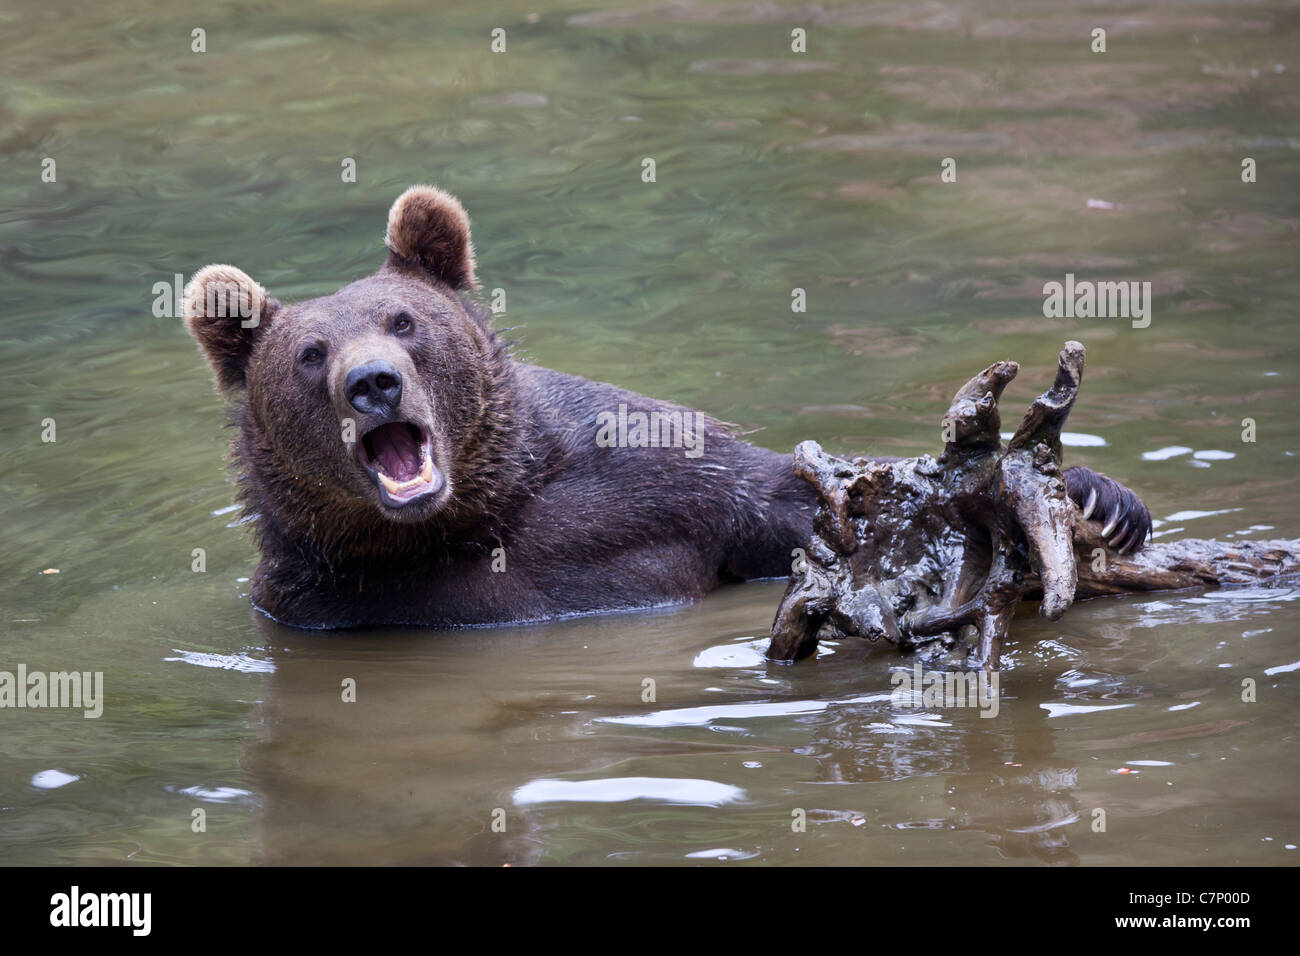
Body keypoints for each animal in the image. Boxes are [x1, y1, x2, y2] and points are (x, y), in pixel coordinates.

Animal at [184, 185, 1152, 629]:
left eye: (403, 320)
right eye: (310, 353)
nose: (373, 381)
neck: (474, 516)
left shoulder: (659, 479)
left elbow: (810, 506)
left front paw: (1096, 499)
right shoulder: (323, 602)